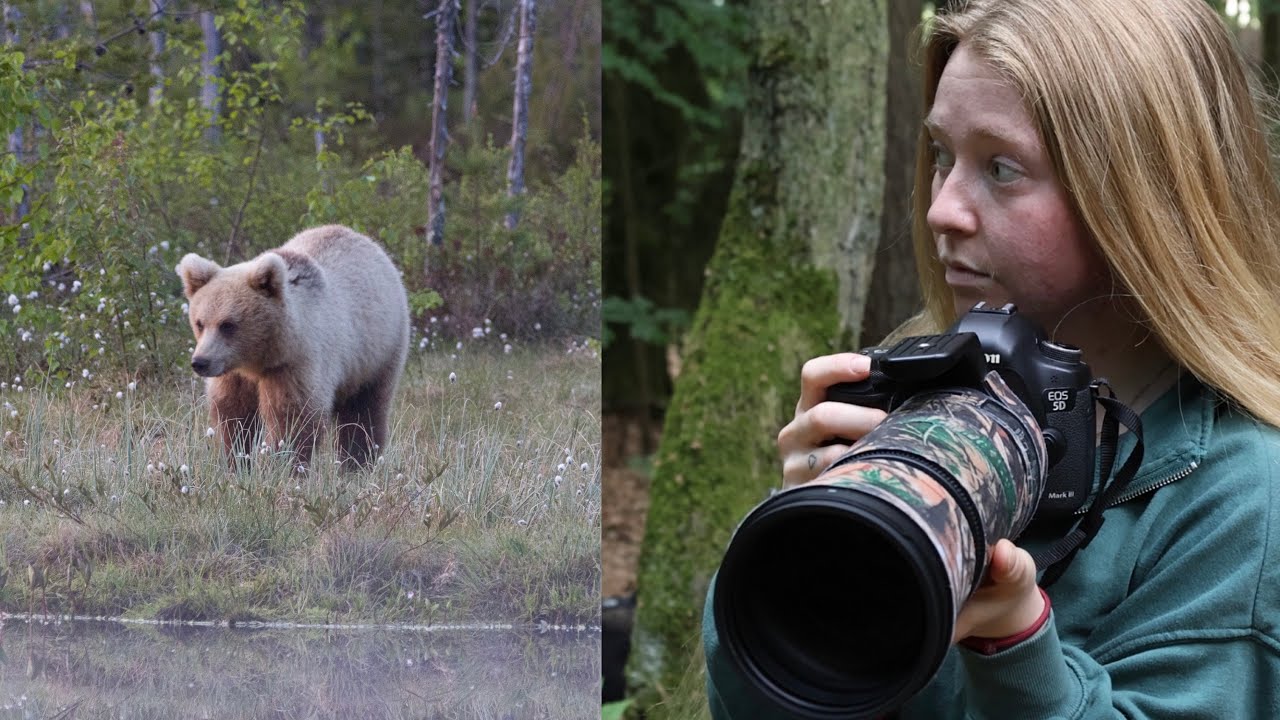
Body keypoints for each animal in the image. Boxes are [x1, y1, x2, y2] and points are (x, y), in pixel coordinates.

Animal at [176, 225, 410, 471]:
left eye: (228, 324)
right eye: (200, 323)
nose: (200, 362)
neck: (258, 360)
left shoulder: (296, 365)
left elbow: (292, 419)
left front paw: (284, 465)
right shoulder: (233, 374)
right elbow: (234, 415)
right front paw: (238, 461)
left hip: (377, 350)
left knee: (364, 412)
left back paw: (357, 463)